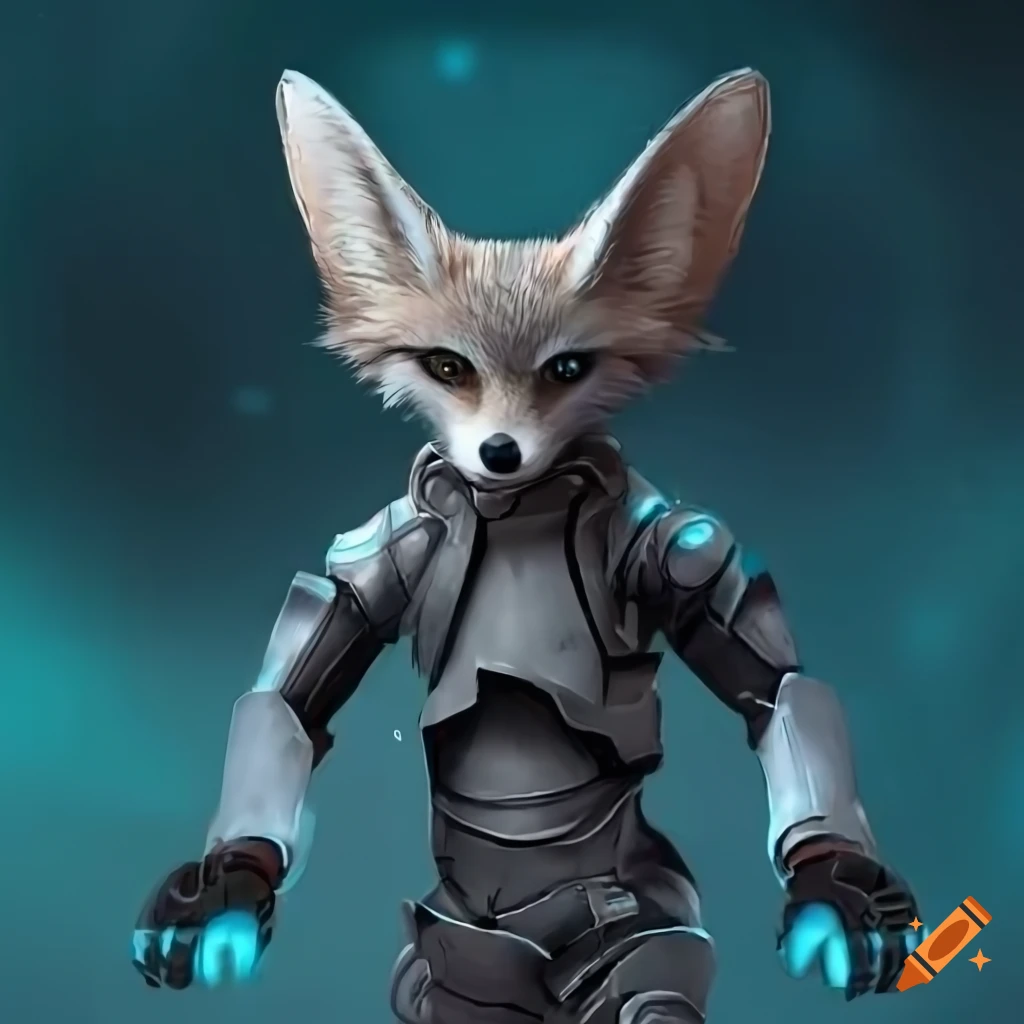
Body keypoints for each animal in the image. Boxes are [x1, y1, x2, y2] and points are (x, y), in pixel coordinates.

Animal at [132, 68, 923, 1023]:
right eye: (448, 367)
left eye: (565, 370)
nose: (499, 453)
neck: (519, 514)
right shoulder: (393, 551)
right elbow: (289, 701)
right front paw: (220, 891)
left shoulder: (674, 545)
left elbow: (776, 693)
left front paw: (836, 892)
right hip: (459, 971)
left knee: (641, 988)